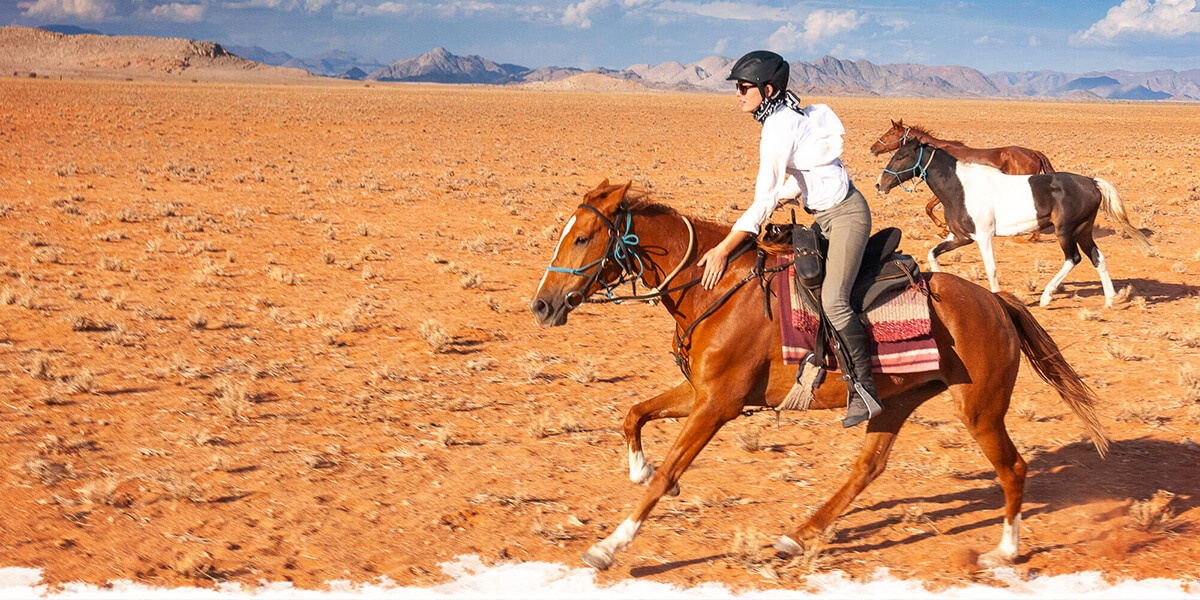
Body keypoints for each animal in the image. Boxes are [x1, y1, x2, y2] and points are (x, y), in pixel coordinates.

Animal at [530, 179, 1109, 572]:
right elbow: (634, 415)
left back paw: (1005, 551)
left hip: (981, 408)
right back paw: (798, 534)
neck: (715, 288)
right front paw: (639, 469)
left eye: (582, 237)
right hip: (897, 401)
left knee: (1013, 468)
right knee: (868, 468)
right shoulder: (701, 391)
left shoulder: (719, 403)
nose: (542, 305)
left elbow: (669, 468)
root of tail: (994, 302)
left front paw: (610, 545)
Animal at [870, 119, 1056, 235]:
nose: (873, 147)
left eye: (889, 133)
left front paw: (943, 227)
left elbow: (929, 207)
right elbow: (929, 207)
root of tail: (1034, 153)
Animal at [876, 138, 1153, 308]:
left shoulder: (984, 236)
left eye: (901, 156)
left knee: (1073, 259)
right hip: (1083, 230)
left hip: (1066, 231)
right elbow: (933, 254)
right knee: (1098, 258)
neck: (960, 187)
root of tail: (1091, 182)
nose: (880, 185)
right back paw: (1109, 300)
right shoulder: (960, 237)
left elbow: (991, 269)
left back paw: (1046, 297)